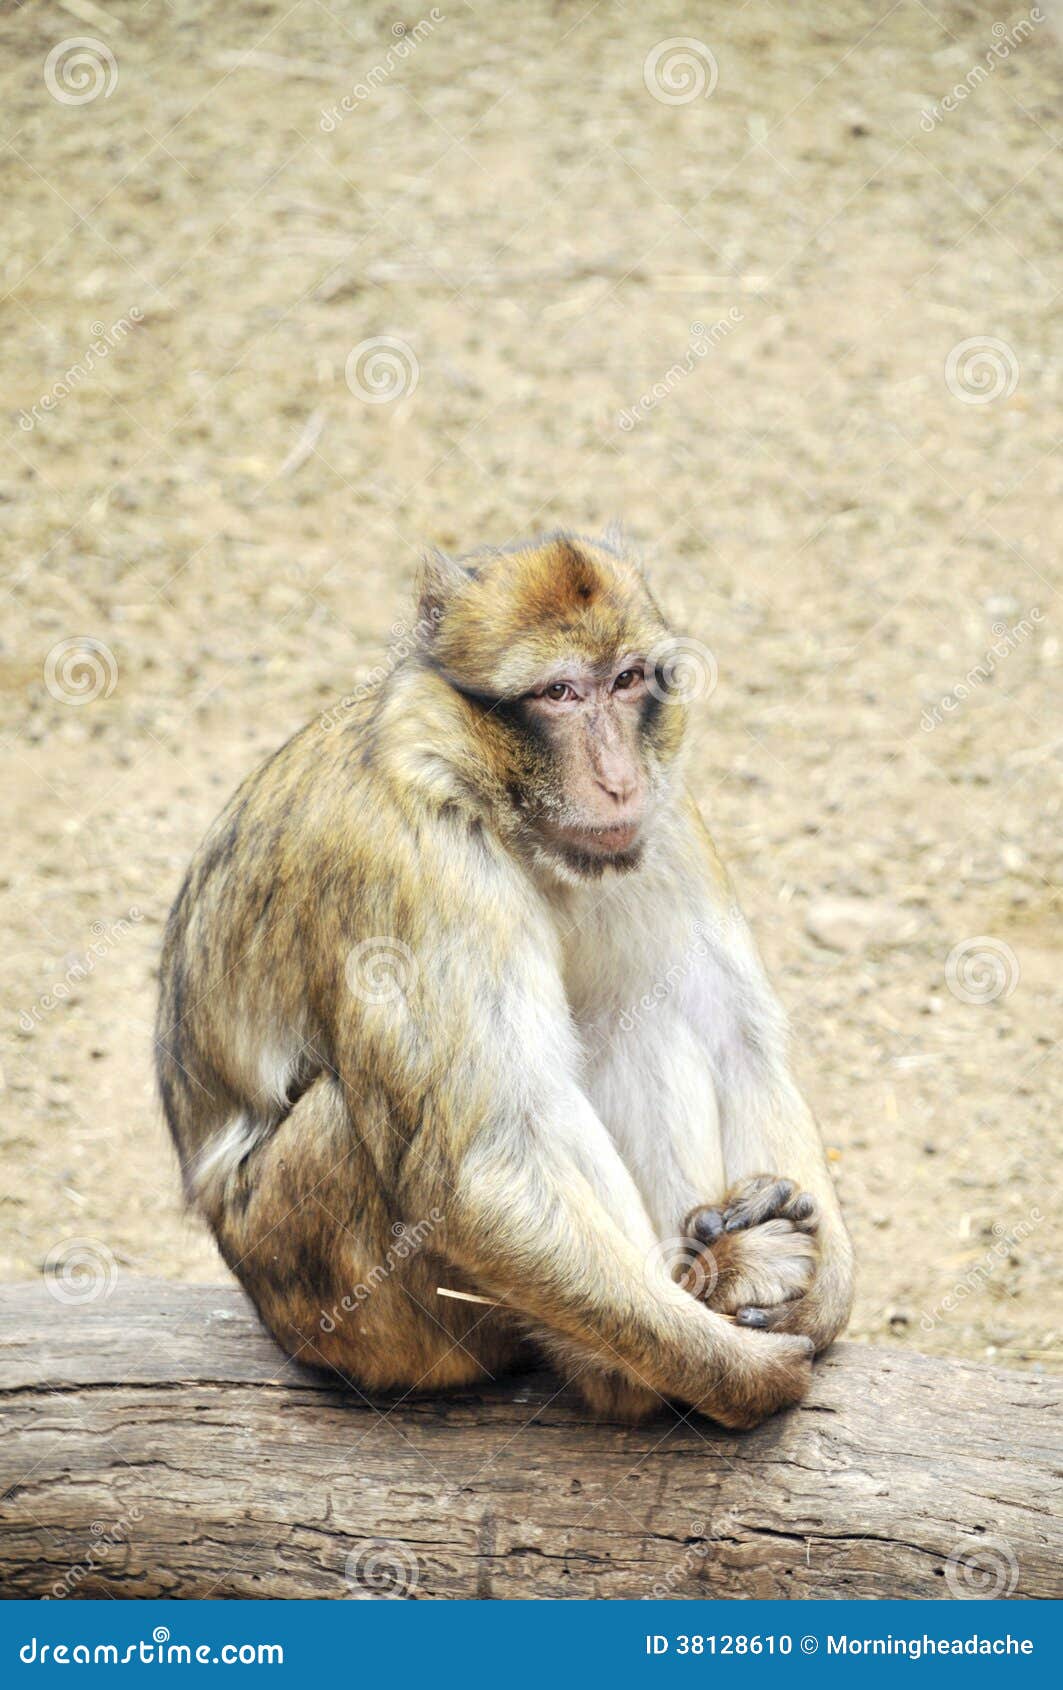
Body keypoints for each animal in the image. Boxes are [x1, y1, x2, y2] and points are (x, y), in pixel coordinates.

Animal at [155, 530, 853, 1429]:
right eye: (558, 693)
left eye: (626, 680)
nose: (619, 779)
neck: (499, 808)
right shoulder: (415, 857)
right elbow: (482, 1167)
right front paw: (737, 1372)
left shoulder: (664, 826)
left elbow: (737, 1040)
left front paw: (823, 1293)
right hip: (340, 1299)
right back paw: (650, 1351)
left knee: (646, 1020)